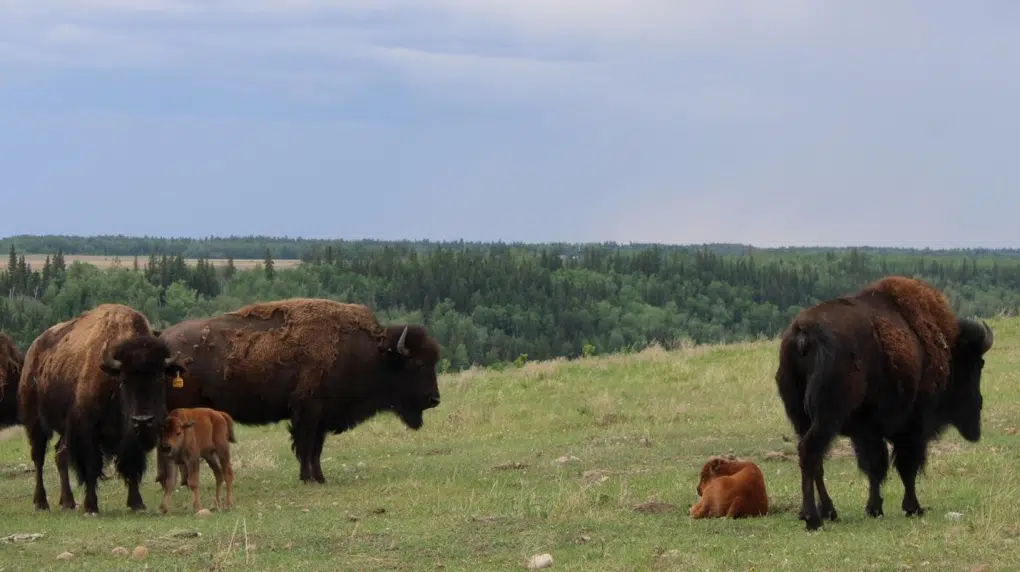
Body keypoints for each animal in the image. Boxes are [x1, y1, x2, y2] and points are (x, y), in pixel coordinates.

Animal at [18, 304, 188, 515]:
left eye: (160, 378)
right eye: (123, 380)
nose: (143, 420)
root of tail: (33, 351)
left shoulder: (129, 438)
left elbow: (131, 465)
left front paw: (136, 503)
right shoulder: (87, 431)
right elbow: (92, 467)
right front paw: (91, 506)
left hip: (64, 430)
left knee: (60, 454)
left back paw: (68, 502)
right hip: (36, 423)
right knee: (39, 459)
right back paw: (41, 503)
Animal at [156, 297, 442, 484]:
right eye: (416, 364)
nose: (434, 399)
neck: (372, 354)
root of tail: (162, 340)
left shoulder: (322, 417)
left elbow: (316, 449)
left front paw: (319, 477)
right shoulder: (309, 411)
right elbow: (306, 446)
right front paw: (308, 478)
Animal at [775, 276, 993, 531]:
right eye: (977, 364)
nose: (979, 404)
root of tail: (803, 335)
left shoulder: (867, 430)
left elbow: (875, 466)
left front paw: (875, 508)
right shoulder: (912, 426)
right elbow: (905, 465)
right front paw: (912, 507)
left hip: (800, 418)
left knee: (814, 459)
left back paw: (827, 511)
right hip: (827, 417)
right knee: (810, 452)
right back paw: (814, 518)